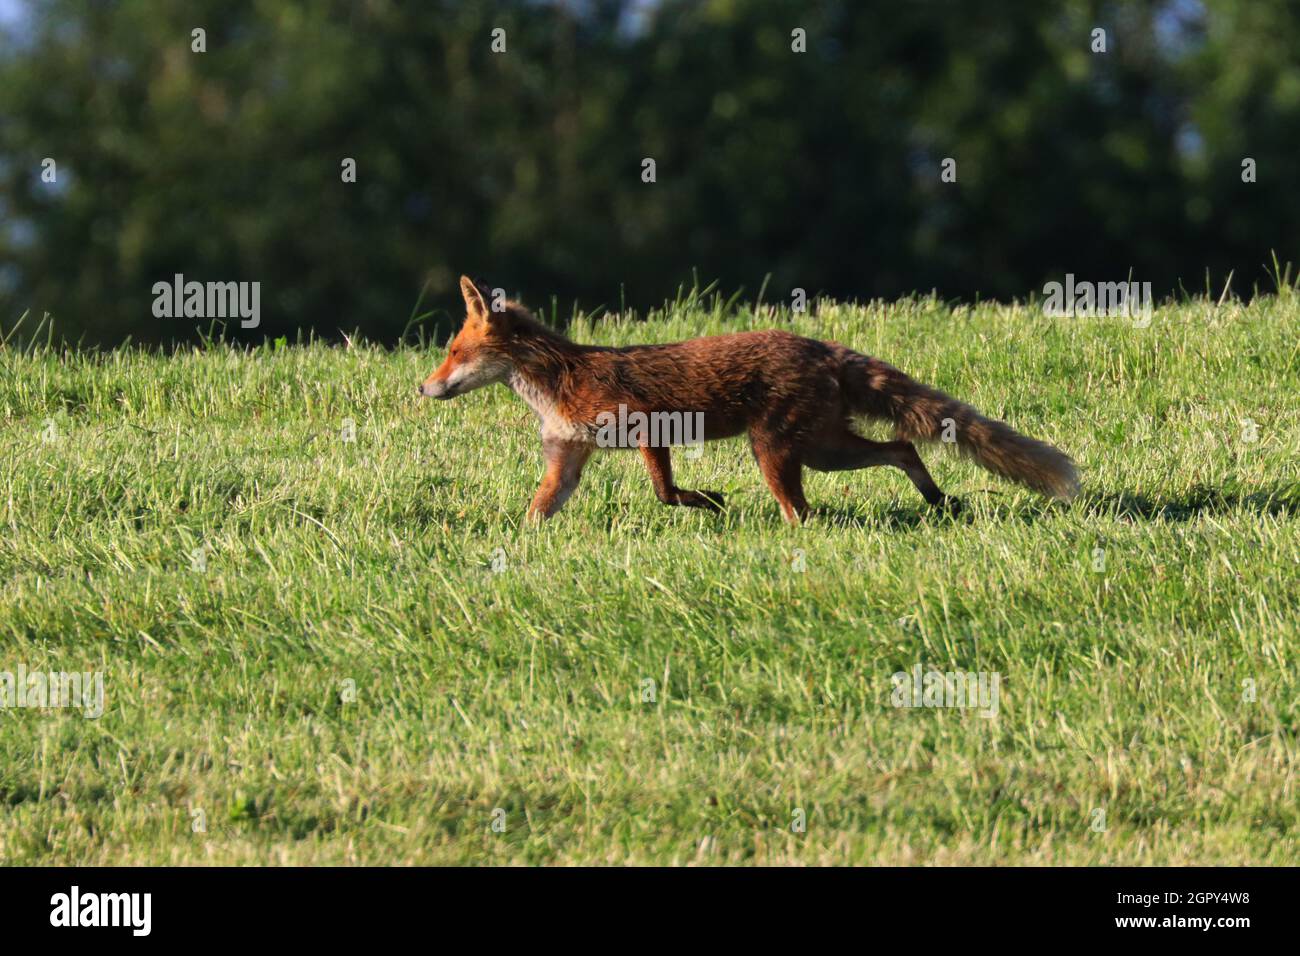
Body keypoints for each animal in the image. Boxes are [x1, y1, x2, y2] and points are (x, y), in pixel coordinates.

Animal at [418, 276, 1079, 524]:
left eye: (451, 351)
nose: (421, 387)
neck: (560, 381)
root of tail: (819, 345)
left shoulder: (647, 428)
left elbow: (665, 493)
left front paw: (706, 502)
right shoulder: (567, 457)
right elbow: (537, 511)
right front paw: (516, 548)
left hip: (779, 452)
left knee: (805, 509)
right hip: (823, 449)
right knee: (902, 447)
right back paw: (938, 501)